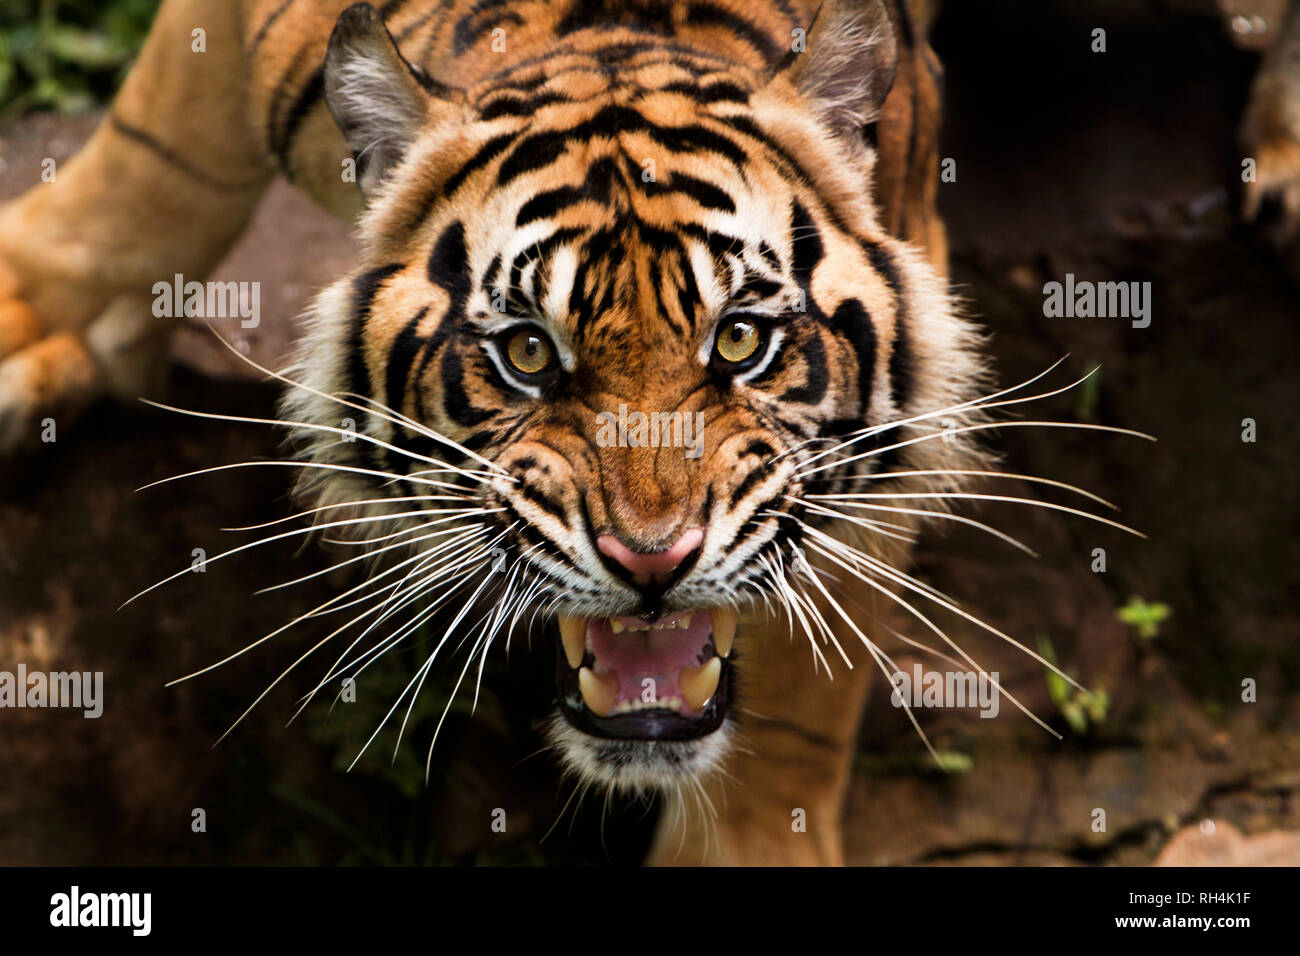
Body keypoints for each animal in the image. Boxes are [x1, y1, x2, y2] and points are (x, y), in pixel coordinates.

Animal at [0, 0, 1293, 866]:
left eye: (740, 341)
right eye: (527, 352)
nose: (650, 560)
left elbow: (799, 687)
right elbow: (158, 157)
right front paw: (33, 324)